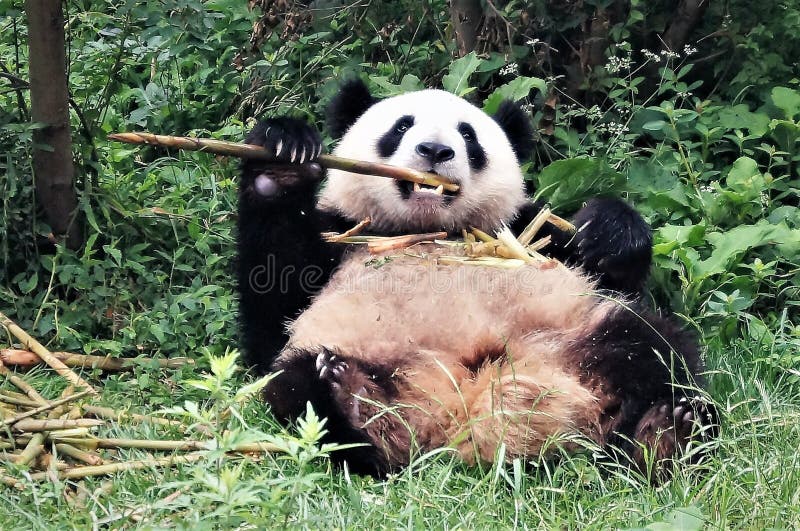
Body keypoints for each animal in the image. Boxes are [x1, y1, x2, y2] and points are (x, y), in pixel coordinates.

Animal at [237, 79, 716, 476]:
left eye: (468, 135)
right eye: (401, 126)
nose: (435, 150)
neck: (428, 229)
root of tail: (466, 415)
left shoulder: (527, 233)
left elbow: (611, 276)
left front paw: (606, 231)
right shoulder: (344, 234)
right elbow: (273, 305)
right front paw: (283, 157)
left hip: (574, 339)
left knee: (653, 345)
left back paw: (664, 435)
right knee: (300, 388)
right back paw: (352, 398)